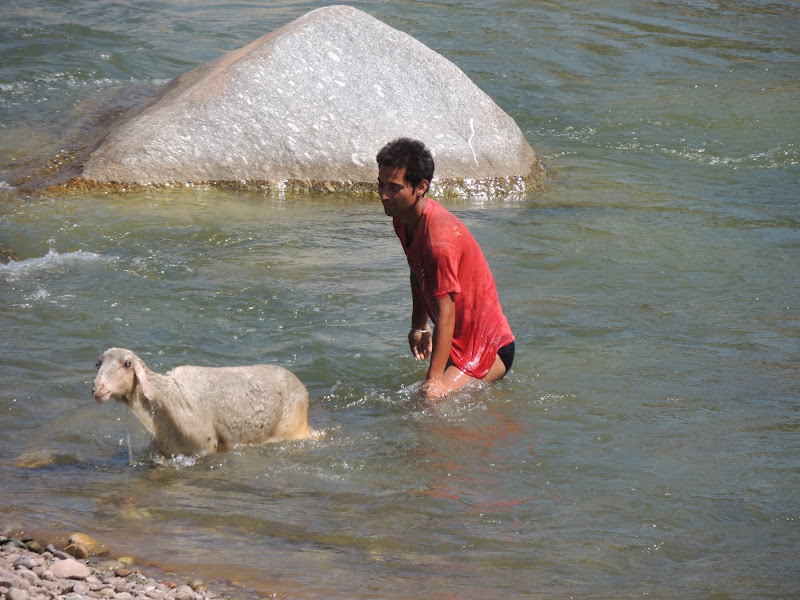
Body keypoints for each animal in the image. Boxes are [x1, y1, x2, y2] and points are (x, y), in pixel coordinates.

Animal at [92, 347, 311, 457]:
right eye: (98, 364)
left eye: (127, 364)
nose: (97, 389)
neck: (169, 398)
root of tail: (302, 388)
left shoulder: (204, 448)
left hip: (292, 428)